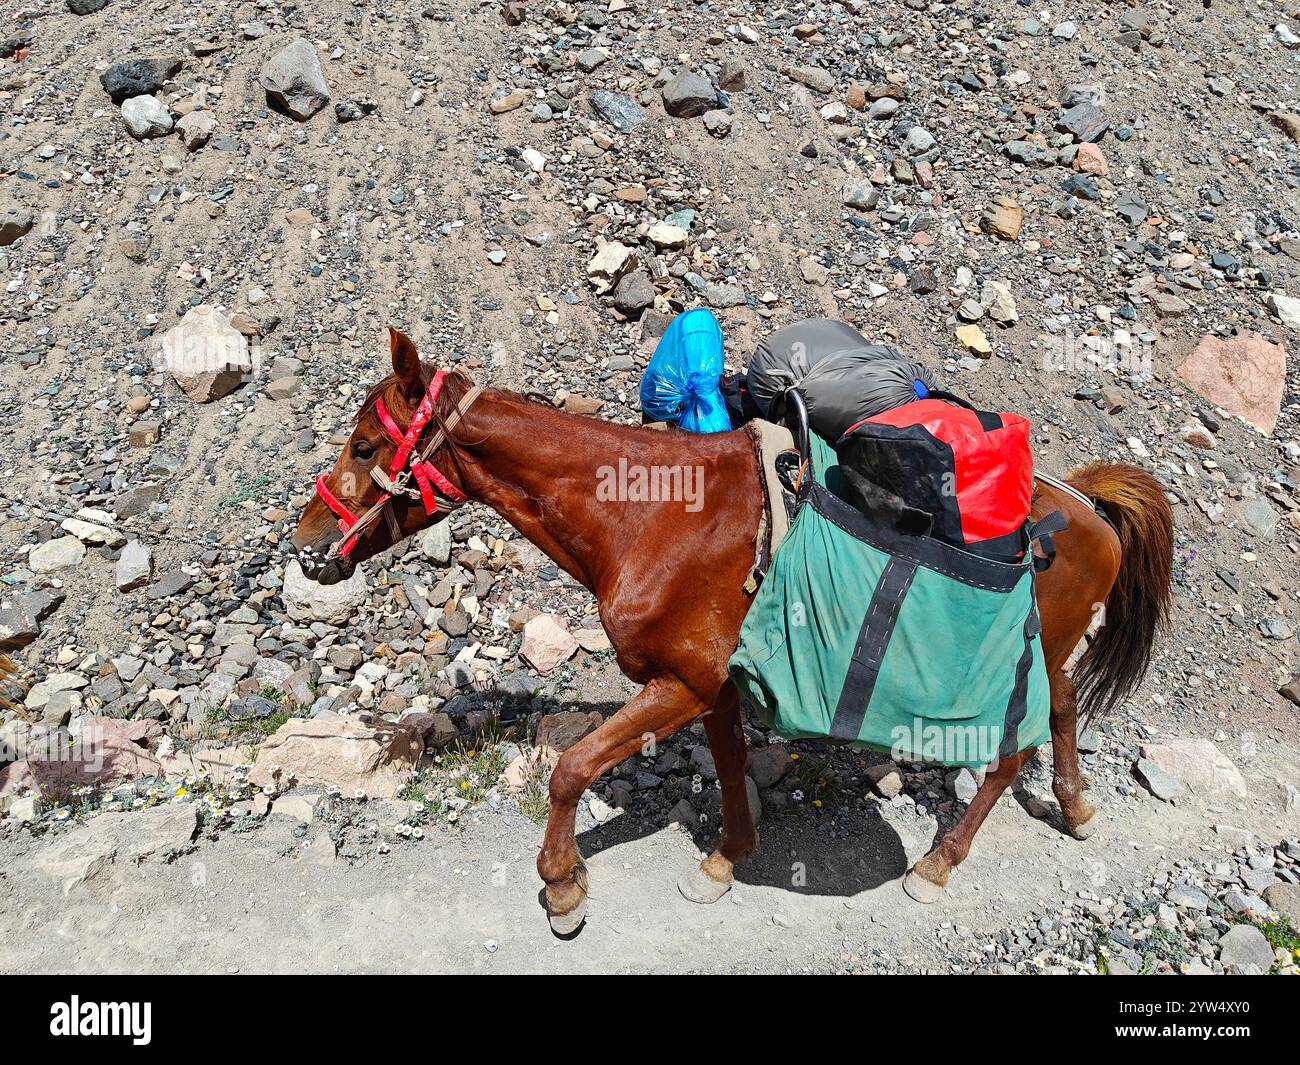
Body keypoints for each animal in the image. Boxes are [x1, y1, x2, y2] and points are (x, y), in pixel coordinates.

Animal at [291, 328, 1173, 934]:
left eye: (363, 445)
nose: (305, 547)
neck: (648, 517)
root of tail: (1089, 509)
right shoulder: (708, 686)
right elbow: (725, 765)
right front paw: (723, 860)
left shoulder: (680, 683)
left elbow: (571, 769)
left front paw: (563, 885)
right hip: (1043, 655)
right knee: (1062, 710)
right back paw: (1076, 807)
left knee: (1011, 751)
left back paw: (937, 864)